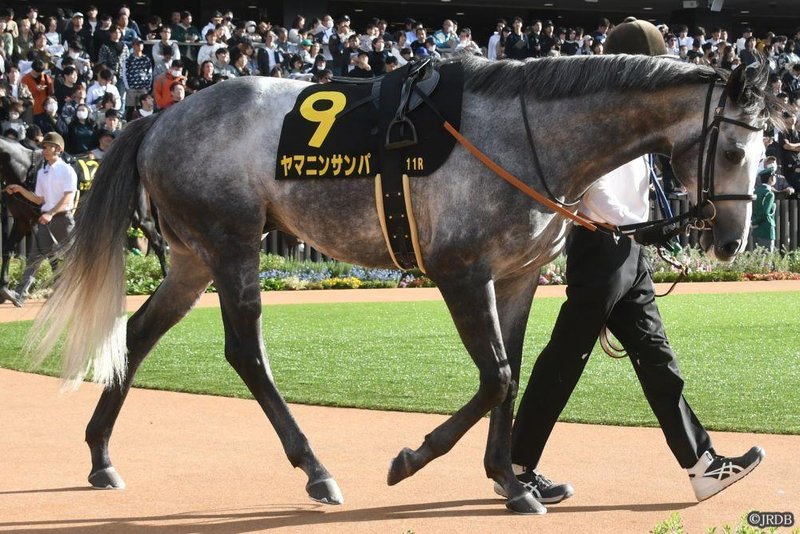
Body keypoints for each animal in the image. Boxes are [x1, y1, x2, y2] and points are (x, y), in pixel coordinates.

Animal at [0, 138, 168, 303]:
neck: (26, 169)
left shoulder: (39, 219)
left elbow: (48, 253)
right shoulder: (22, 220)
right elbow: (9, 250)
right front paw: (6, 289)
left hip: (140, 216)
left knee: (159, 243)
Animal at [26, 55, 778, 514]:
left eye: (765, 150)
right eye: (735, 149)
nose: (731, 241)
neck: (526, 135)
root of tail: (162, 116)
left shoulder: (517, 275)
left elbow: (511, 371)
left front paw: (511, 480)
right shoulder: (459, 271)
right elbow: (497, 376)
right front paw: (414, 459)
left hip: (191, 258)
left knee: (137, 333)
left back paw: (100, 456)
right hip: (232, 243)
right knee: (245, 353)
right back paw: (316, 469)